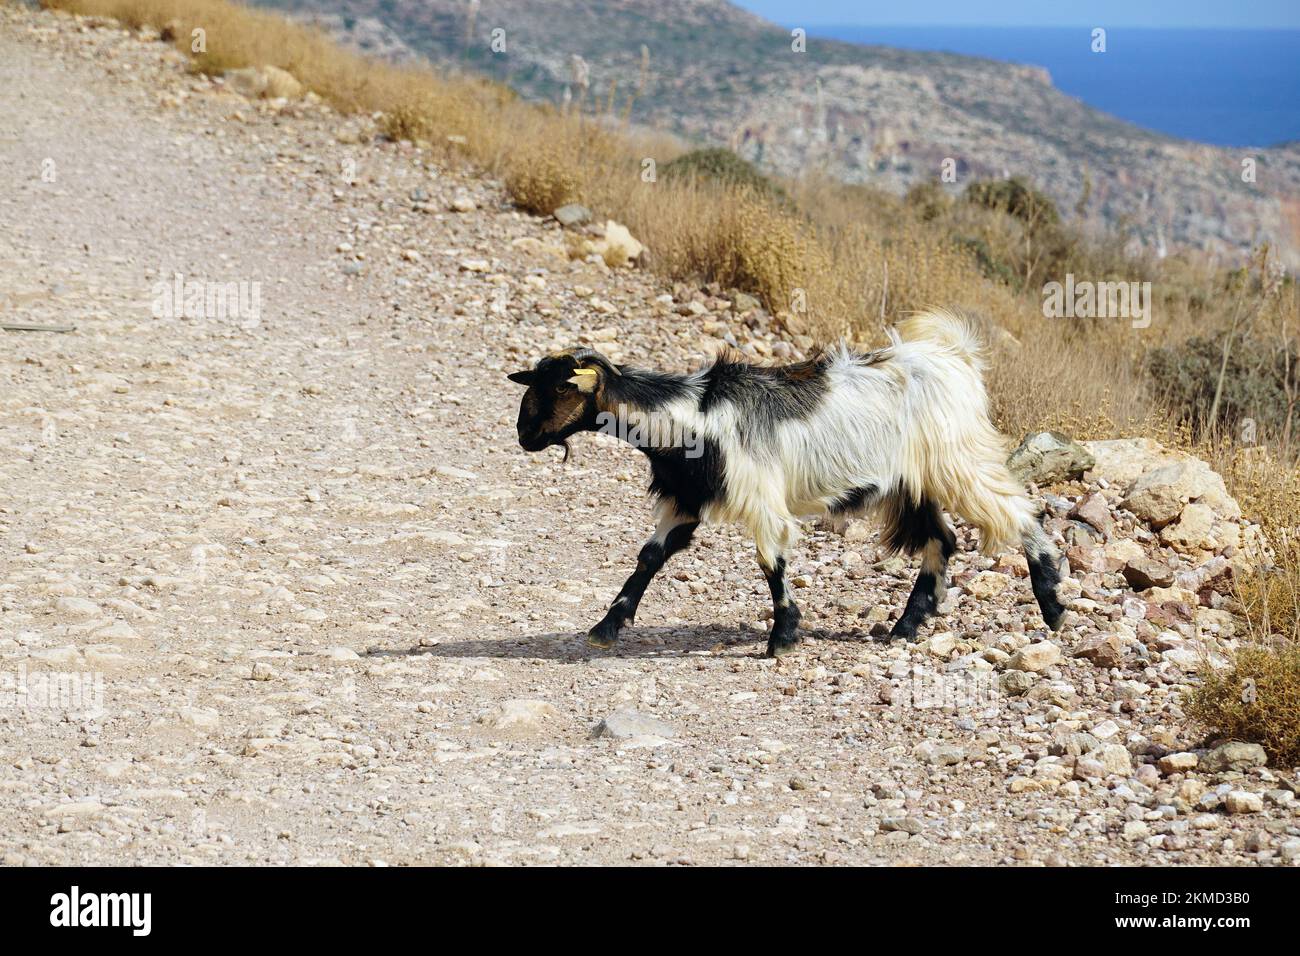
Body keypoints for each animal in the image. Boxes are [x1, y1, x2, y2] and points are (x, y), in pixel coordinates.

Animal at [507, 309, 1066, 658]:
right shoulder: (686, 500)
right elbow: (649, 557)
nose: (524, 435)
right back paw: (905, 628)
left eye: (561, 388)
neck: (694, 416)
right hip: (911, 485)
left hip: (957, 462)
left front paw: (783, 637)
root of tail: (956, 358)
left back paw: (1053, 604)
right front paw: (605, 627)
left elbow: (770, 562)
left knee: (1017, 511)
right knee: (941, 540)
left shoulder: (759, 497)